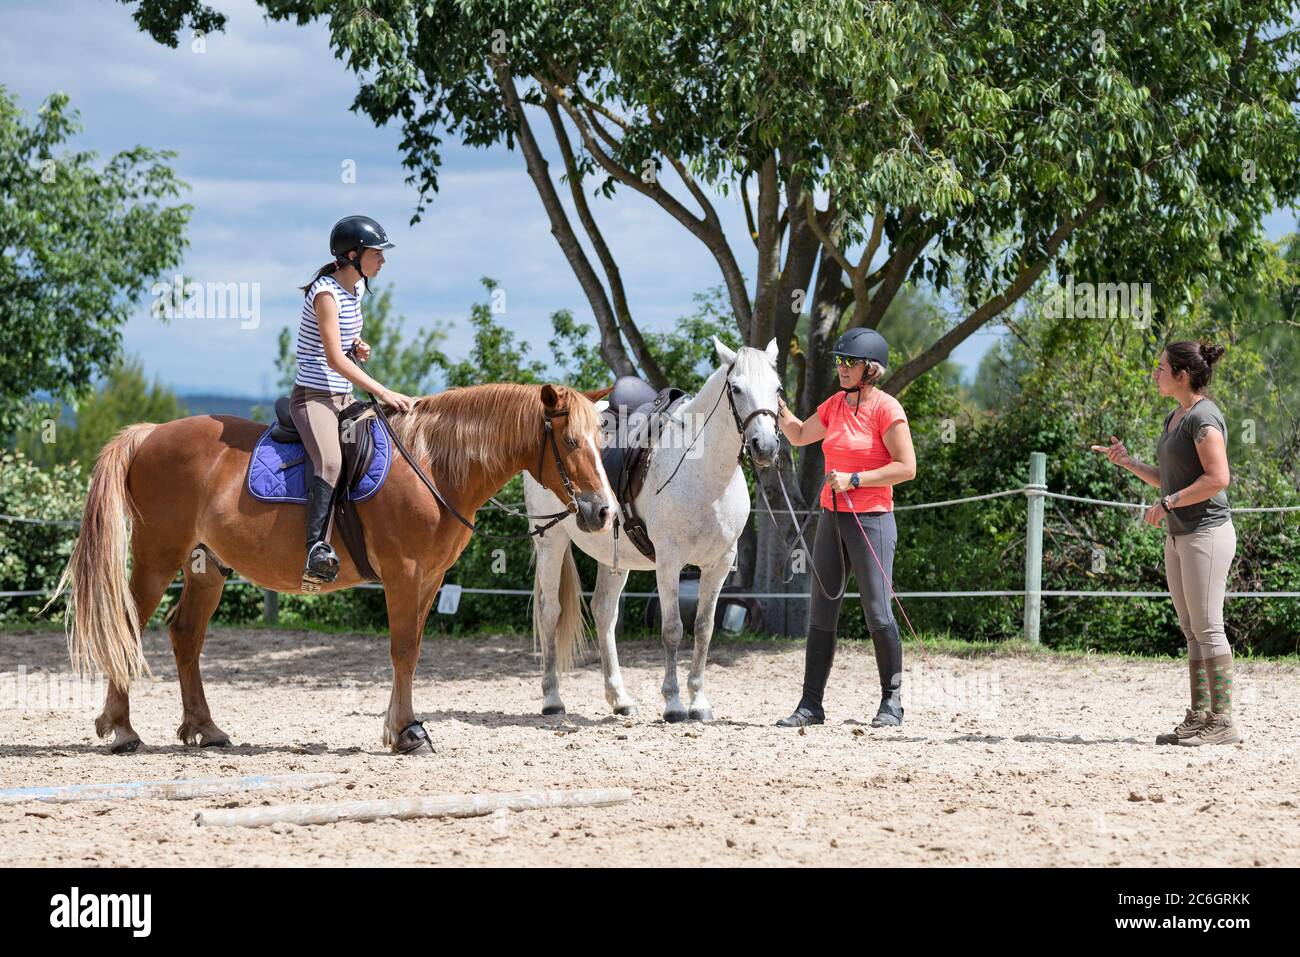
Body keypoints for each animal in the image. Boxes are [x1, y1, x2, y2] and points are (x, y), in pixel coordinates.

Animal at [47, 383, 615, 755]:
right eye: (570, 443)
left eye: (599, 441)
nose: (602, 512)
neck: (432, 464)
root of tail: (149, 435)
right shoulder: (404, 575)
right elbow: (403, 651)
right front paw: (407, 732)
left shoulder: (429, 580)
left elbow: (412, 651)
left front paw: (398, 726)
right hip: (156, 558)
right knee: (128, 628)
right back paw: (122, 729)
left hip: (206, 566)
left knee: (185, 635)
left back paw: (205, 729)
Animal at [524, 338, 783, 721]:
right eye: (736, 389)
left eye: (777, 388)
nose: (765, 447)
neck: (704, 471)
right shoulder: (669, 562)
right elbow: (673, 629)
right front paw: (674, 704)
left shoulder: (719, 564)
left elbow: (704, 629)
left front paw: (699, 703)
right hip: (550, 541)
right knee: (549, 611)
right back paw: (552, 699)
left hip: (612, 555)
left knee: (604, 612)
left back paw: (620, 699)